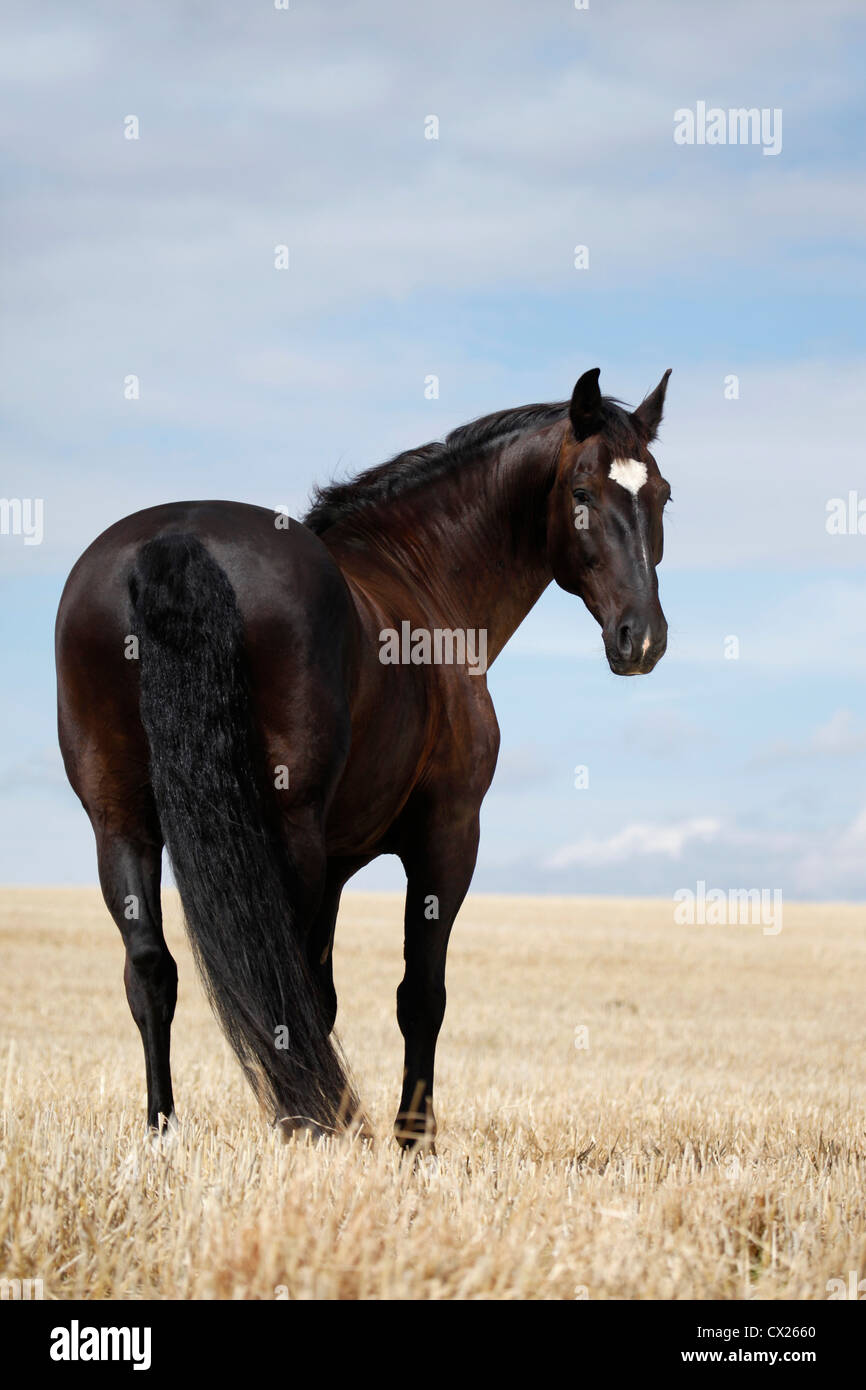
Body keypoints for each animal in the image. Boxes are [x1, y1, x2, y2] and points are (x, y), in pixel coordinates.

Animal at [54, 366, 672, 1148]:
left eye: (662, 494)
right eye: (583, 493)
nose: (641, 638)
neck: (423, 579)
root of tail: (174, 541)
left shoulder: (338, 863)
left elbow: (325, 994)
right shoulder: (446, 837)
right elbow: (420, 995)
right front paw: (413, 1141)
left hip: (121, 823)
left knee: (151, 971)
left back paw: (167, 1129)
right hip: (284, 831)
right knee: (277, 980)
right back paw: (313, 1123)